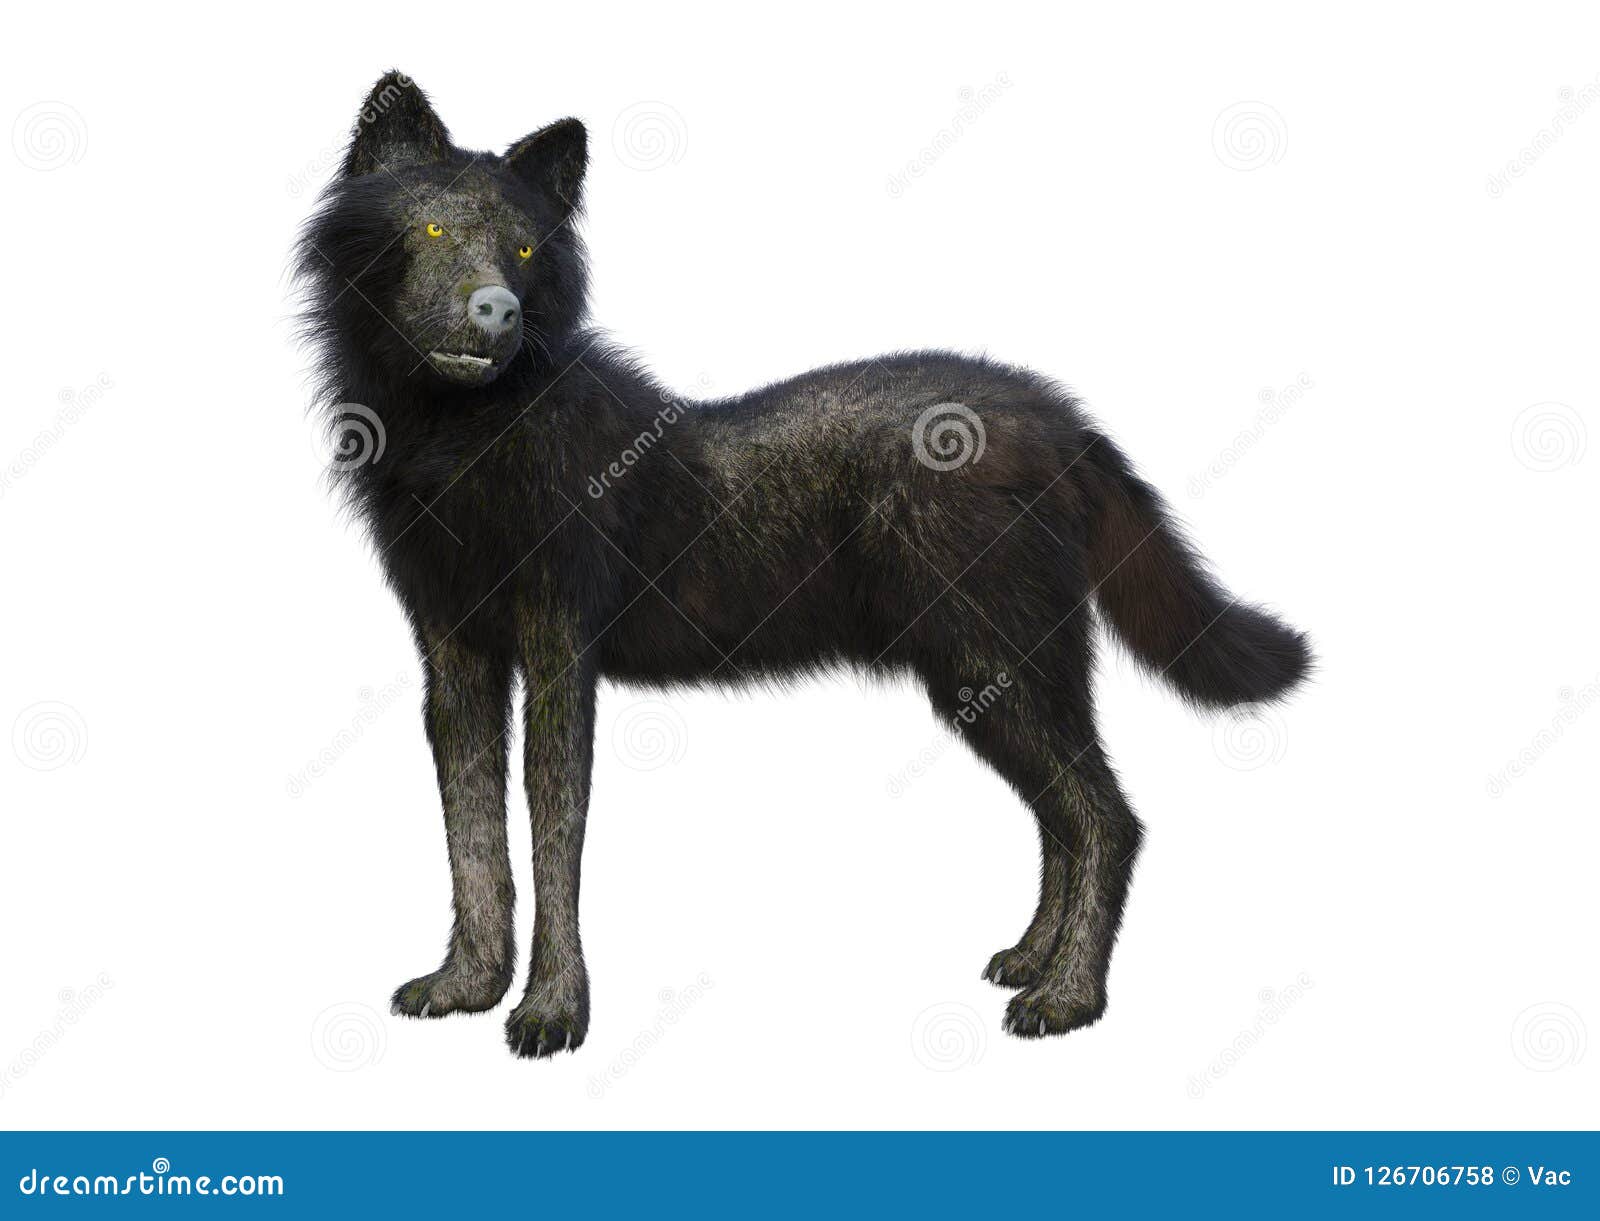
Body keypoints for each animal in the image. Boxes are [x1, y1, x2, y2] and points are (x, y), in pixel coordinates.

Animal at [296, 72, 1312, 1059]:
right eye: (433, 231)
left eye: (523, 251)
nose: (498, 311)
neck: (465, 441)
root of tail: (1063, 418)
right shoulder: (457, 660)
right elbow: (474, 837)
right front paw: (467, 987)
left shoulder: (557, 658)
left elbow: (554, 839)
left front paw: (551, 1014)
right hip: (983, 680)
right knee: (1065, 818)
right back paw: (1028, 960)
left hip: (998, 668)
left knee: (1107, 817)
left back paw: (1067, 1001)